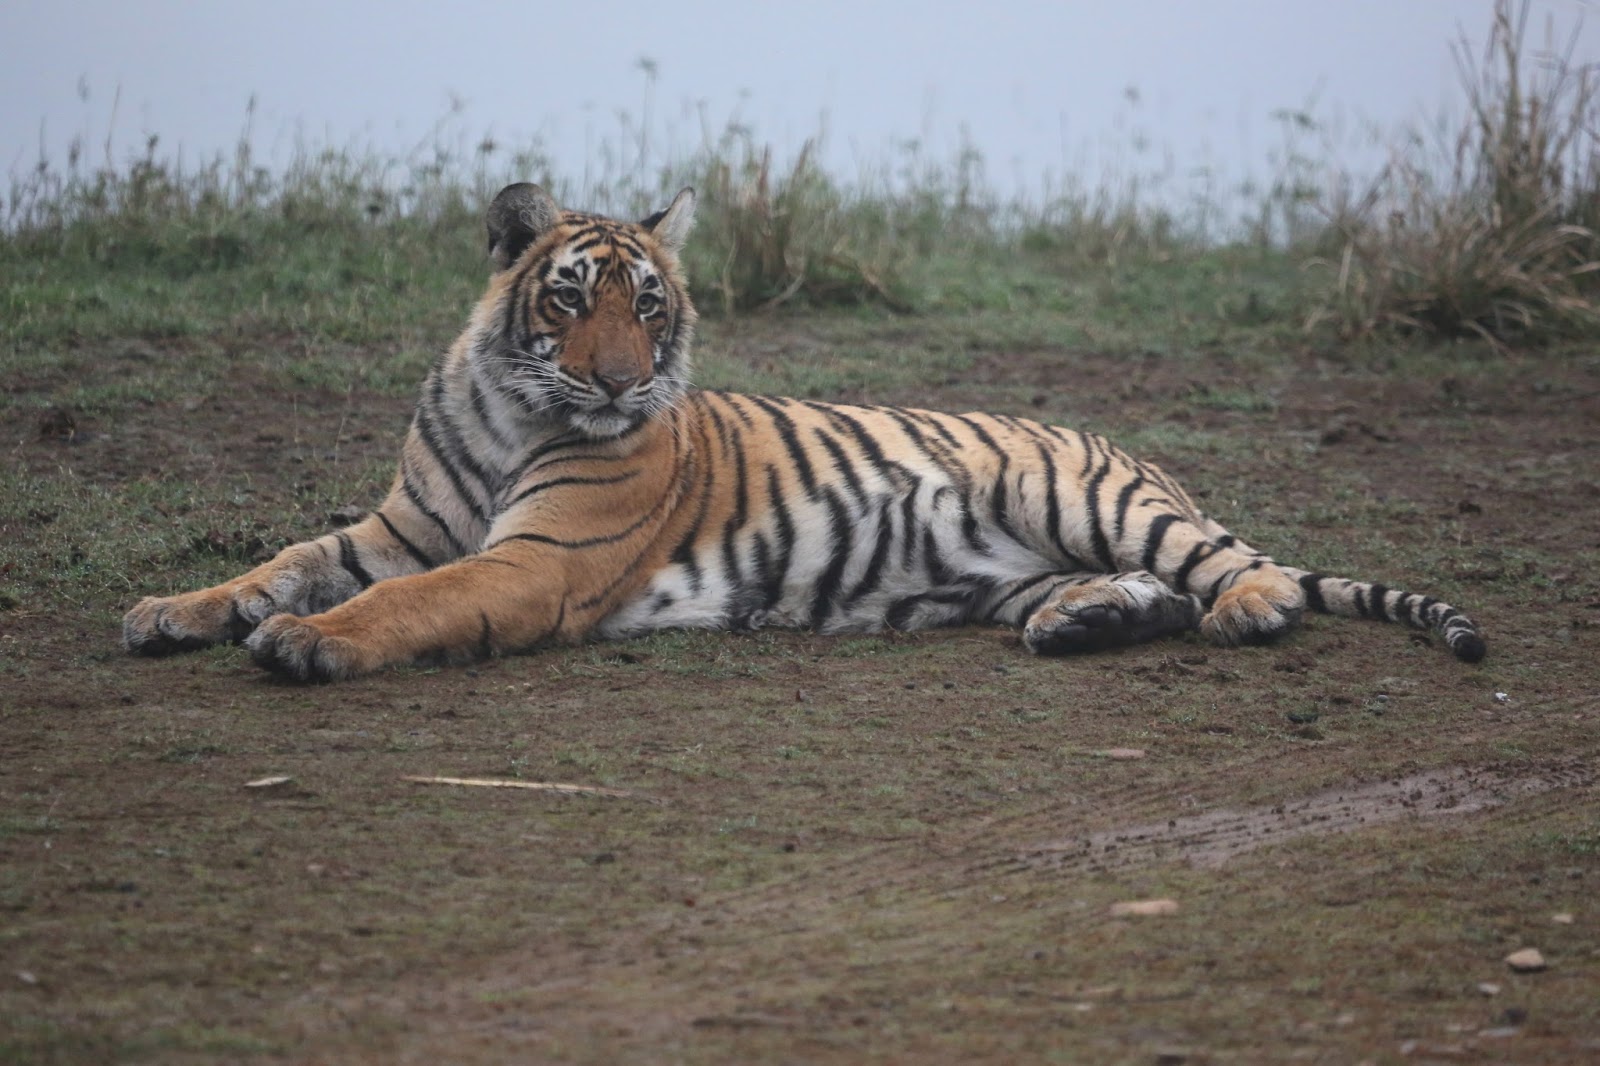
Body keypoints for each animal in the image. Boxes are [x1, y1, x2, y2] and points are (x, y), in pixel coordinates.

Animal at [121, 182, 1486, 681]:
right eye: (570, 298)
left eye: (648, 304)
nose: (618, 384)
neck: (514, 407)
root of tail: (1134, 451)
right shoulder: (398, 525)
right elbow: (284, 563)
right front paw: (170, 612)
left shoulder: (531, 562)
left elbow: (400, 602)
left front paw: (306, 643)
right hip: (1006, 572)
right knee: (1141, 590)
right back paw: (1081, 622)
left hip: (1081, 497)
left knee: (1241, 571)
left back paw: (1243, 611)